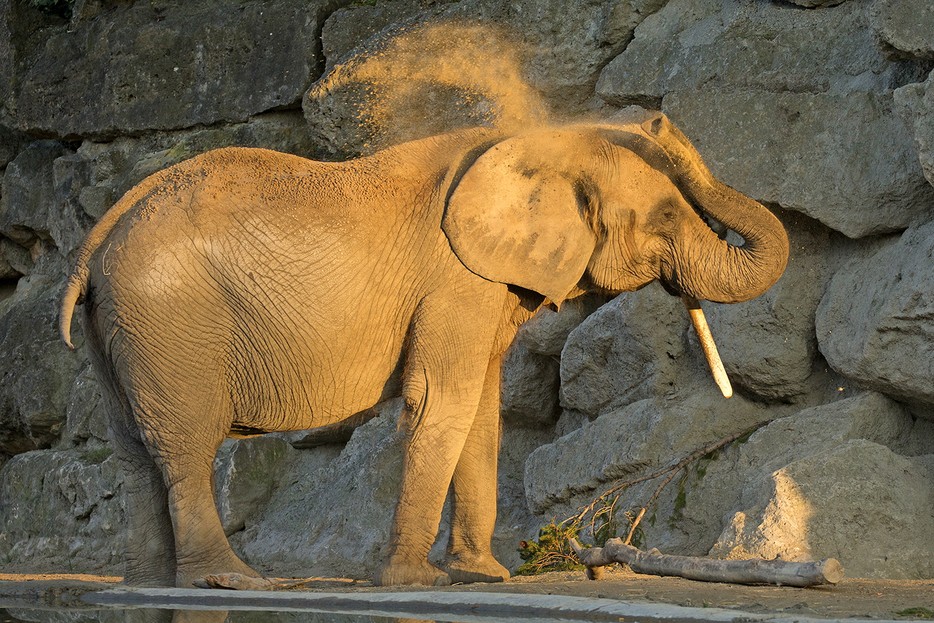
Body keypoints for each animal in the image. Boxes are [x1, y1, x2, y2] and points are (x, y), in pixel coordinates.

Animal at [59, 111, 788, 589]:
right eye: (665, 219)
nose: (659, 118)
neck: (546, 140)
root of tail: (96, 240)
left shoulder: (487, 285)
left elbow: (483, 410)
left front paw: (484, 576)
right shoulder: (456, 280)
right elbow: (445, 400)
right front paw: (417, 582)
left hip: (122, 327)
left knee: (132, 448)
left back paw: (149, 584)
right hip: (167, 319)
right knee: (184, 444)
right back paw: (232, 582)